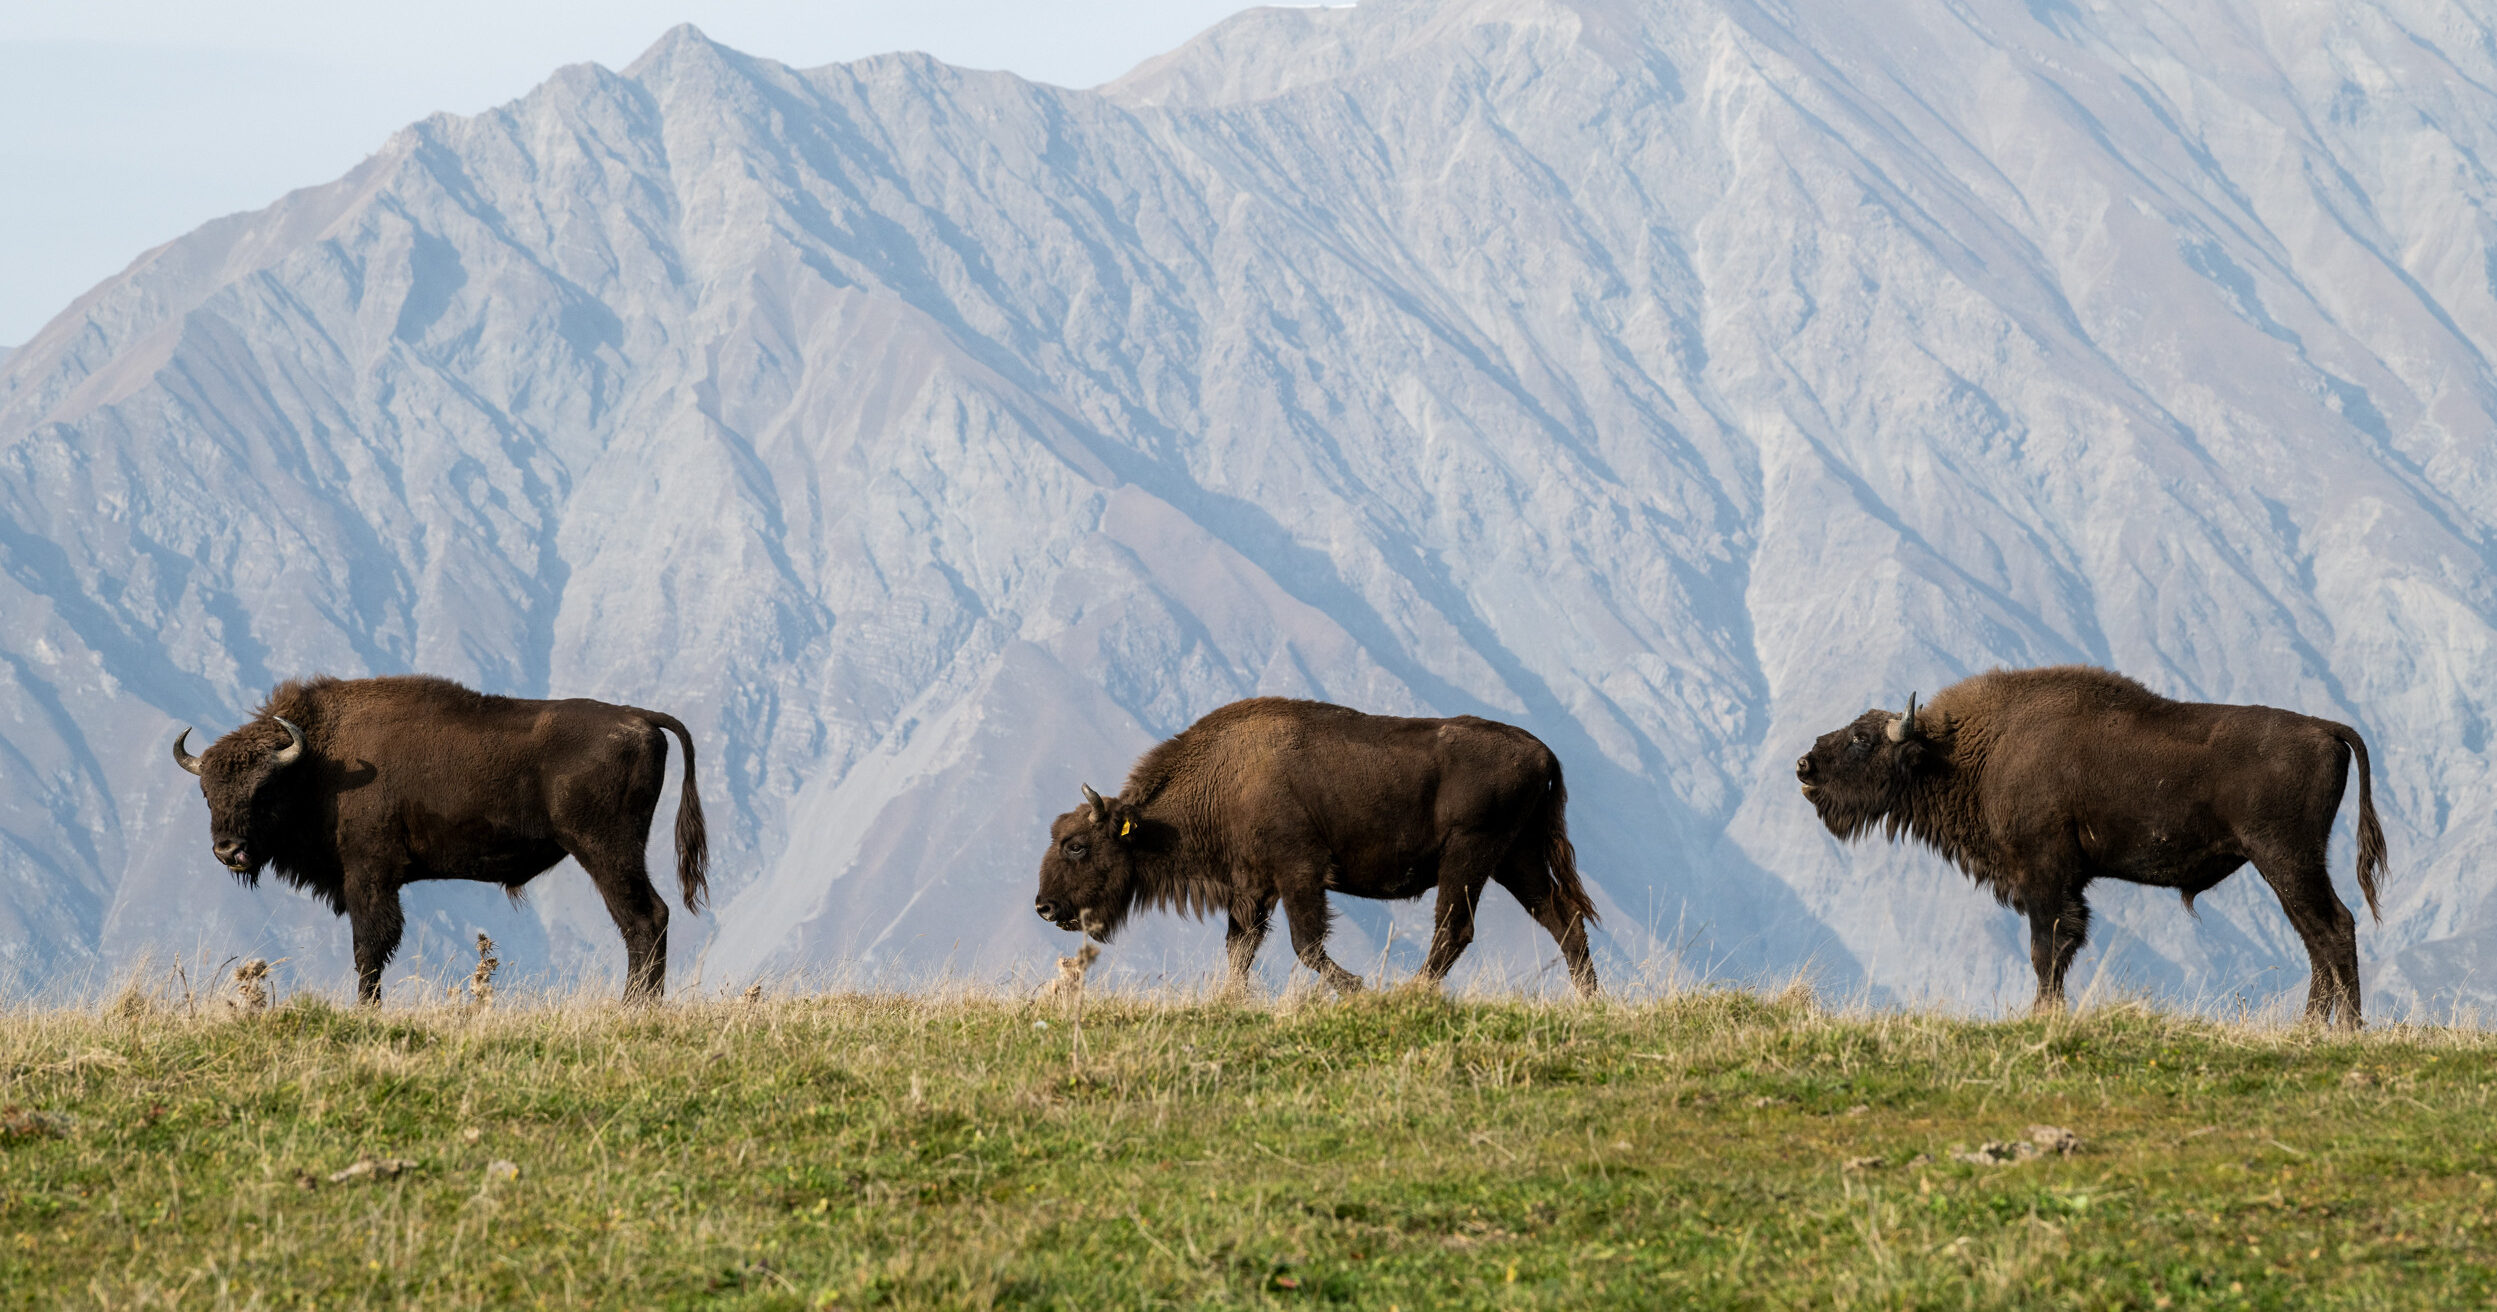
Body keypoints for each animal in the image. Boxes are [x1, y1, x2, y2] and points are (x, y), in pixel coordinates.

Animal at [172, 674, 708, 1004]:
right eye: (206, 792)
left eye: (264, 789)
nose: (229, 851)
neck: (317, 761)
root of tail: (640, 717)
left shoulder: (369, 876)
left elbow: (369, 948)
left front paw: (367, 1010)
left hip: (606, 850)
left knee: (644, 918)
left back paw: (634, 1007)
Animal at [1032, 698, 1600, 997]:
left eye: (1076, 845)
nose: (1044, 907)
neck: (1223, 779)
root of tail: (1543, 753)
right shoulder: (1252, 891)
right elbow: (1240, 949)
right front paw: (1230, 1000)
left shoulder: (1299, 873)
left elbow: (1306, 944)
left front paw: (1361, 989)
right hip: (1515, 859)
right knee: (1562, 919)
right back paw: (1589, 999)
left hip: (1471, 857)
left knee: (1454, 929)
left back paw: (1409, 993)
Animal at [1796, 665, 2386, 1027]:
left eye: (1861, 740)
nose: (1804, 765)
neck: (1967, 751)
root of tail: (2326, 728)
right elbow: (2060, 949)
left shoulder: (2044, 876)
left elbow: (2047, 949)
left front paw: (2042, 1014)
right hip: (2287, 866)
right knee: (2316, 939)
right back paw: (2312, 1027)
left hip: (2286, 858)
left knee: (2334, 928)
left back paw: (2347, 1030)